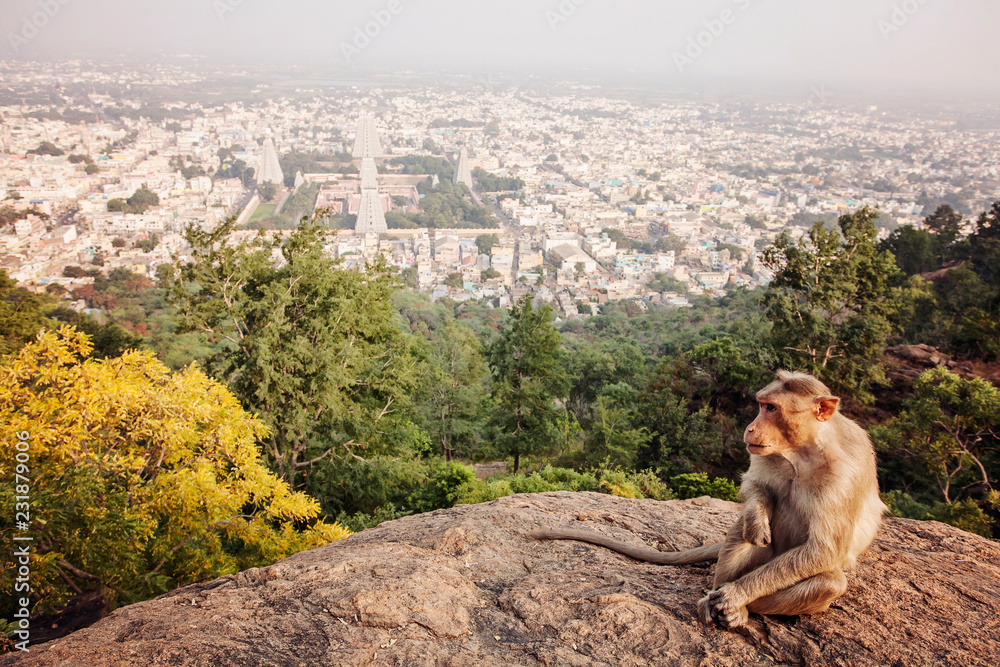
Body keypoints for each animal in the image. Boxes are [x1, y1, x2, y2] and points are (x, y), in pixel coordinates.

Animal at [530, 370, 887, 628]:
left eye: (771, 408)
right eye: (762, 404)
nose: (750, 428)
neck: (801, 451)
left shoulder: (844, 476)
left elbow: (824, 549)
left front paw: (736, 595)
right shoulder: (769, 455)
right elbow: (756, 488)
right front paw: (758, 519)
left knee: (830, 582)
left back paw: (738, 604)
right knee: (743, 531)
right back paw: (717, 592)